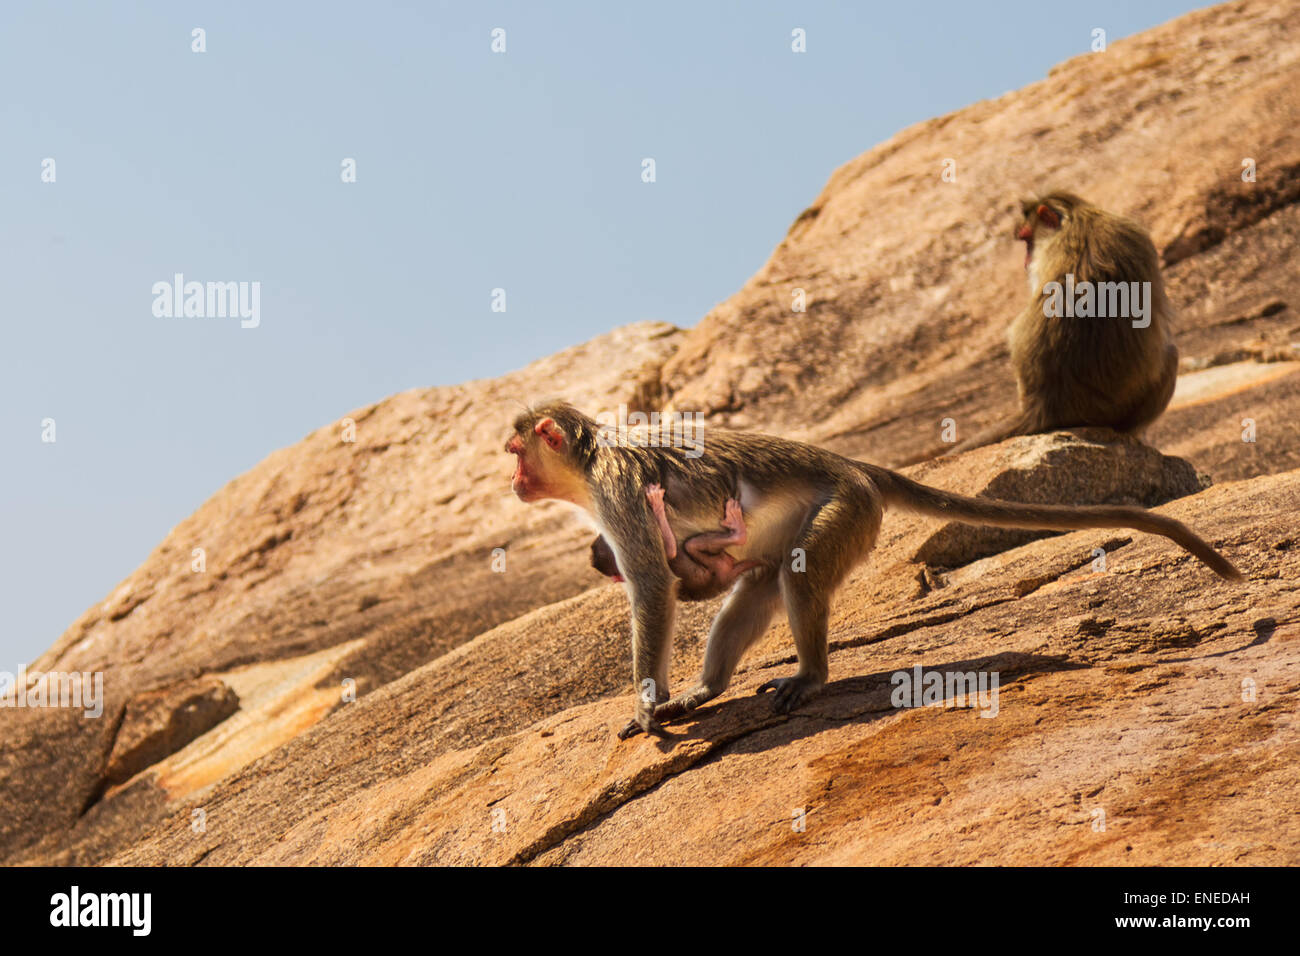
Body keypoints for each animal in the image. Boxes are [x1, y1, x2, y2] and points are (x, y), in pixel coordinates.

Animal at [589, 485, 766, 601]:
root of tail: (726, 579)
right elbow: (671, 550)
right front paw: (656, 504)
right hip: (718, 567)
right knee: (692, 545)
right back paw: (737, 528)